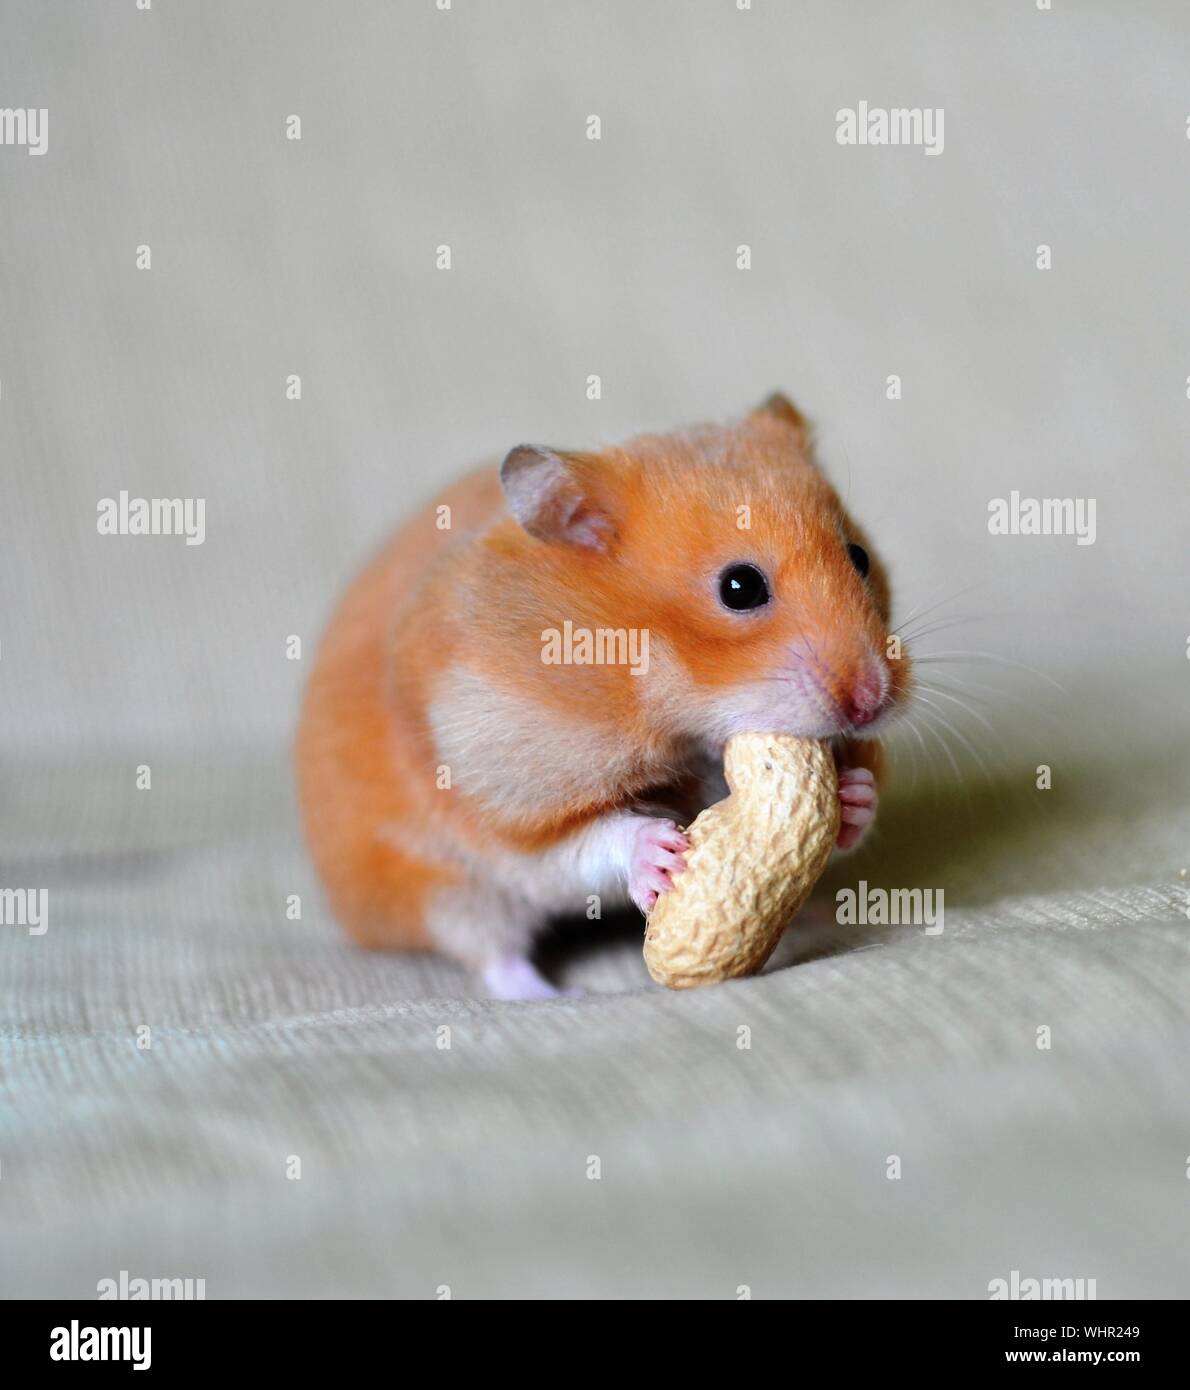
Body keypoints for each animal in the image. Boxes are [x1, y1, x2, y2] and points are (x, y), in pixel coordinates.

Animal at [295, 393, 912, 999]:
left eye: (859, 556)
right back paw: (552, 996)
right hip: (442, 888)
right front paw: (659, 850)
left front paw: (854, 794)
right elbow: (581, 845)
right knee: (493, 952)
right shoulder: (508, 798)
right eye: (740, 587)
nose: (871, 702)